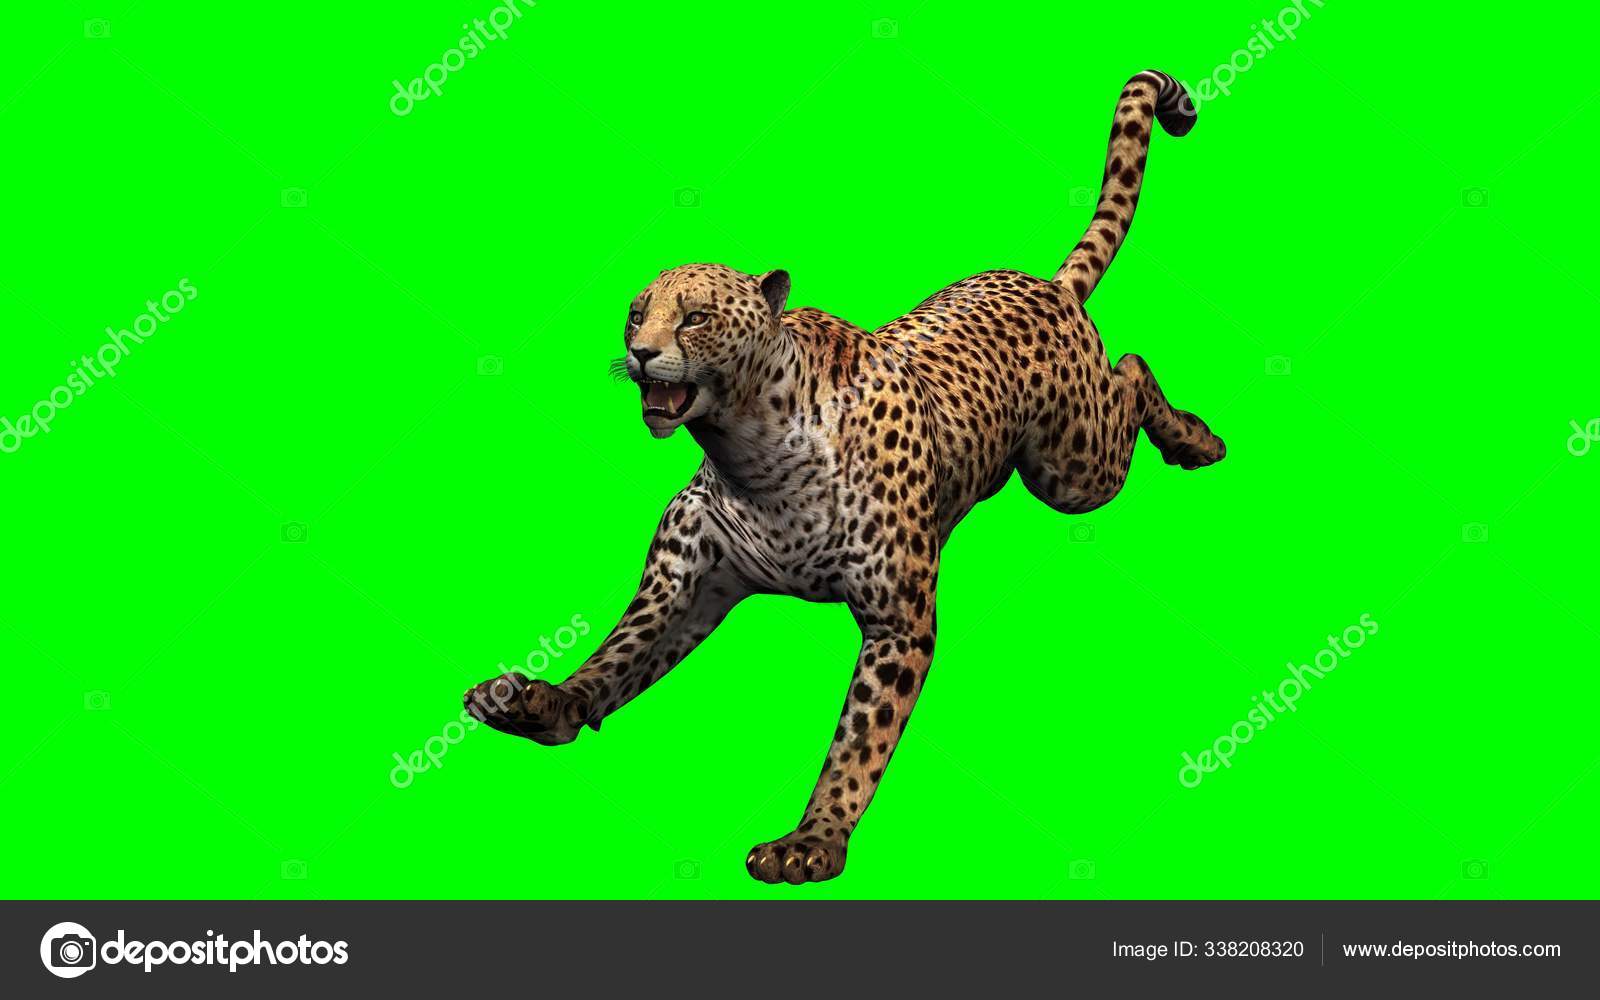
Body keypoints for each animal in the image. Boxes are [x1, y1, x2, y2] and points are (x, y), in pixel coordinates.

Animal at [465, 70, 1226, 884]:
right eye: (637, 312)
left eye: (695, 316)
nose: (640, 353)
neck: (749, 450)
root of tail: (1043, 284)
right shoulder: (686, 582)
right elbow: (614, 658)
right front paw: (537, 704)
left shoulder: (898, 622)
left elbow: (859, 740)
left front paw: (812, 841)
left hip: (1073, 467)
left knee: (1132, 372)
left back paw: (1196, 440)